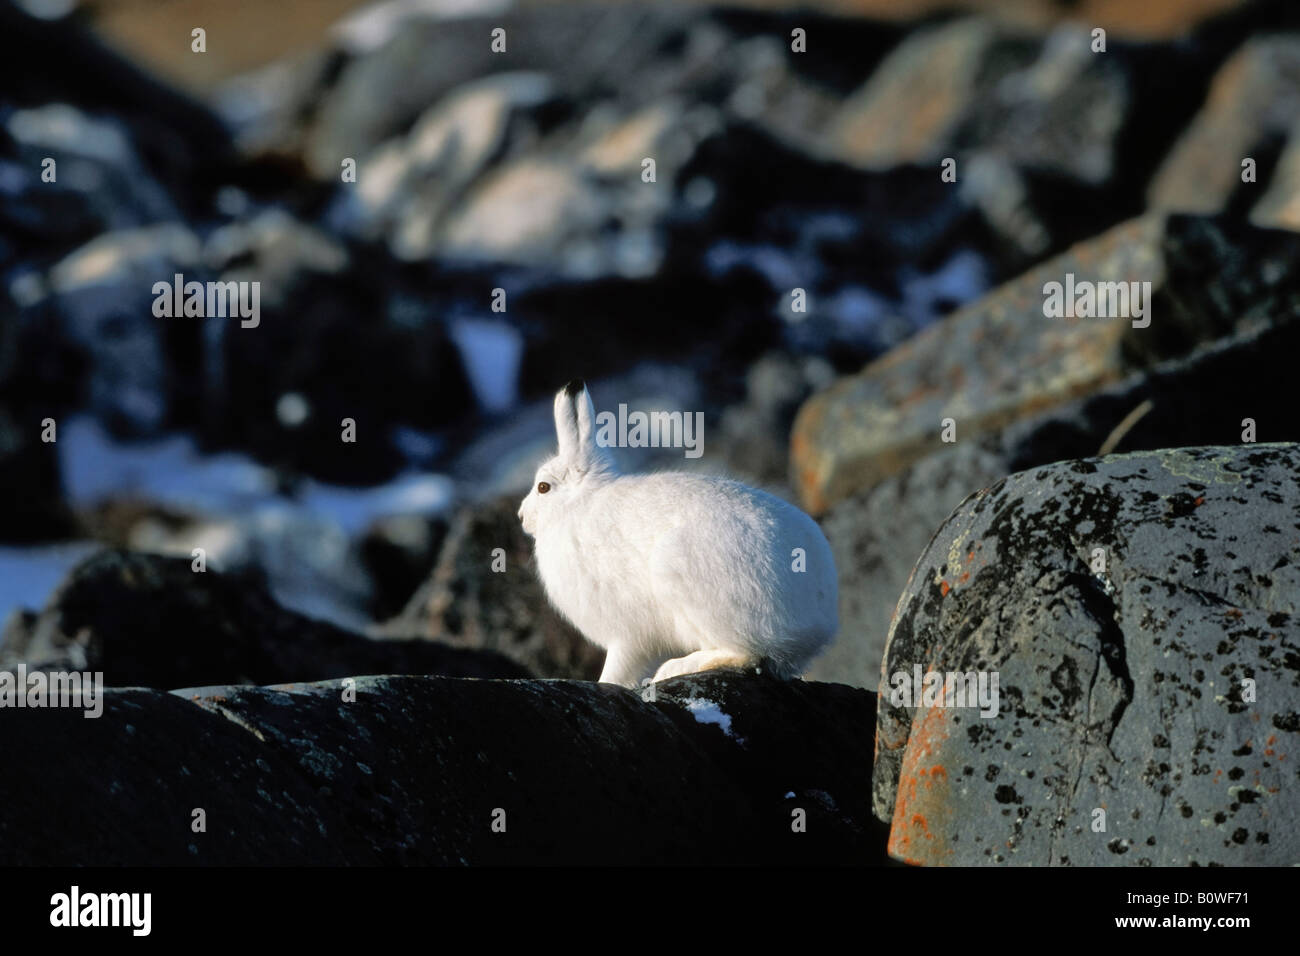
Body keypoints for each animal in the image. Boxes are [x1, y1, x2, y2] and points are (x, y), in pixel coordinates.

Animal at [518, 379, 838, 687]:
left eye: (543, 487)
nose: (522, 517)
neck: (577, 505)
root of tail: (817, 625)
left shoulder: (627, 634)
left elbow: (619, 667)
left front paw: (604, 683)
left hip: (696, 585)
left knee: (745, 653)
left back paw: (676, 668)